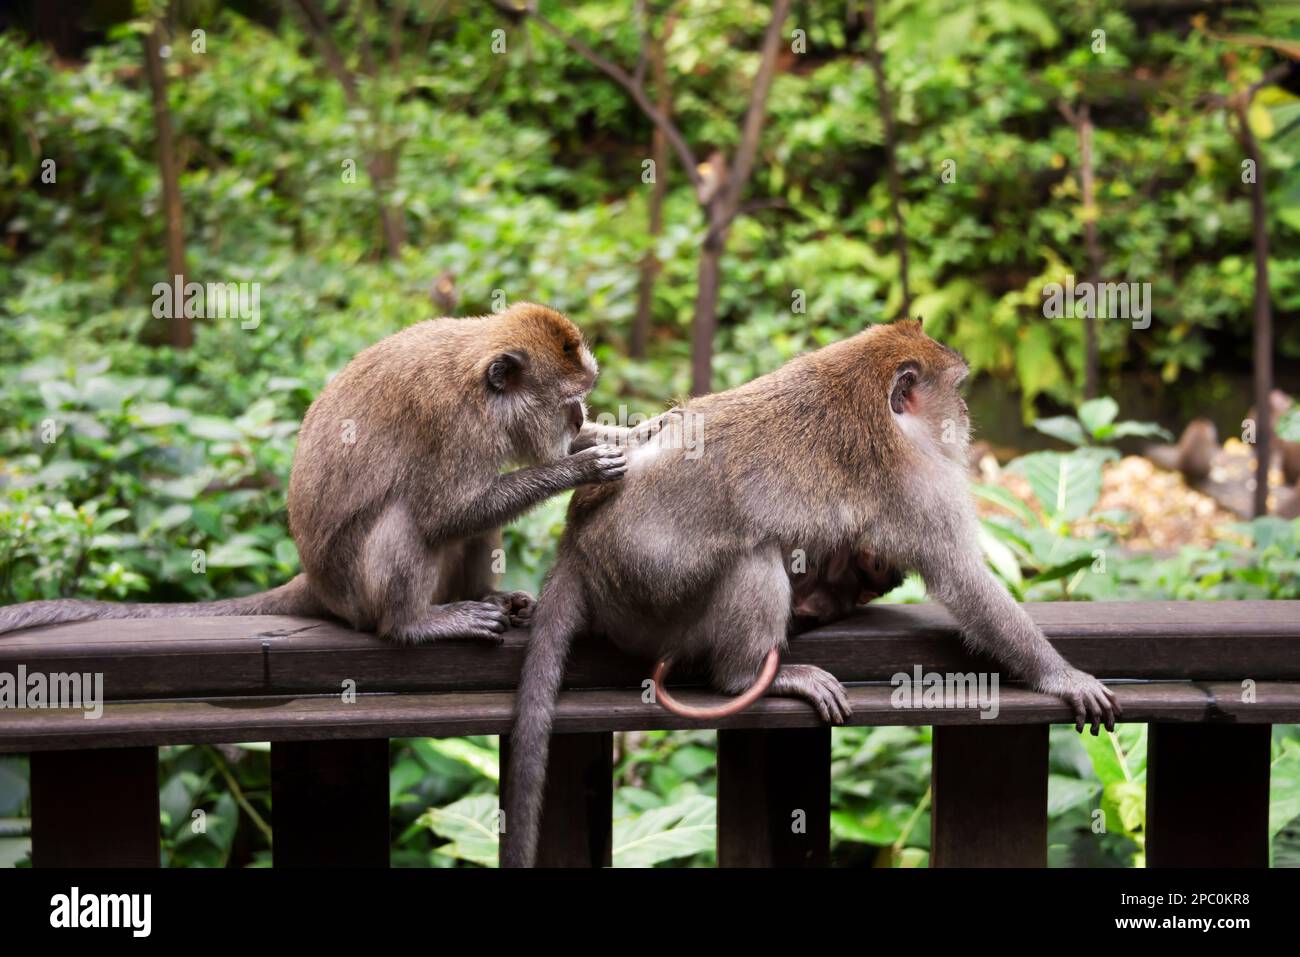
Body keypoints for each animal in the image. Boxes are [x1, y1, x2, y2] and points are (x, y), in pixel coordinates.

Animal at [0, 303, 638, 641]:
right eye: (569, 398)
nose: (577, 416)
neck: (480, 379)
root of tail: (316, 581)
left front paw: (630, 434)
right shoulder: (456, 424)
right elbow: (443, 511)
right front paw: (578, 465)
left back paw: (491, 598)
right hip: (355, 593)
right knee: (406, 521)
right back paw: (413, 624)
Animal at [502, 318, 1120, 867]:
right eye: (958, 389)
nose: (966, 419)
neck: (864, 392)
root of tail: (577, 549)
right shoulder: (917, 484)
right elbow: (964, 583)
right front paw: (1063, 677)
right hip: (647, 597)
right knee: (753, 557)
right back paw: (748, 676)